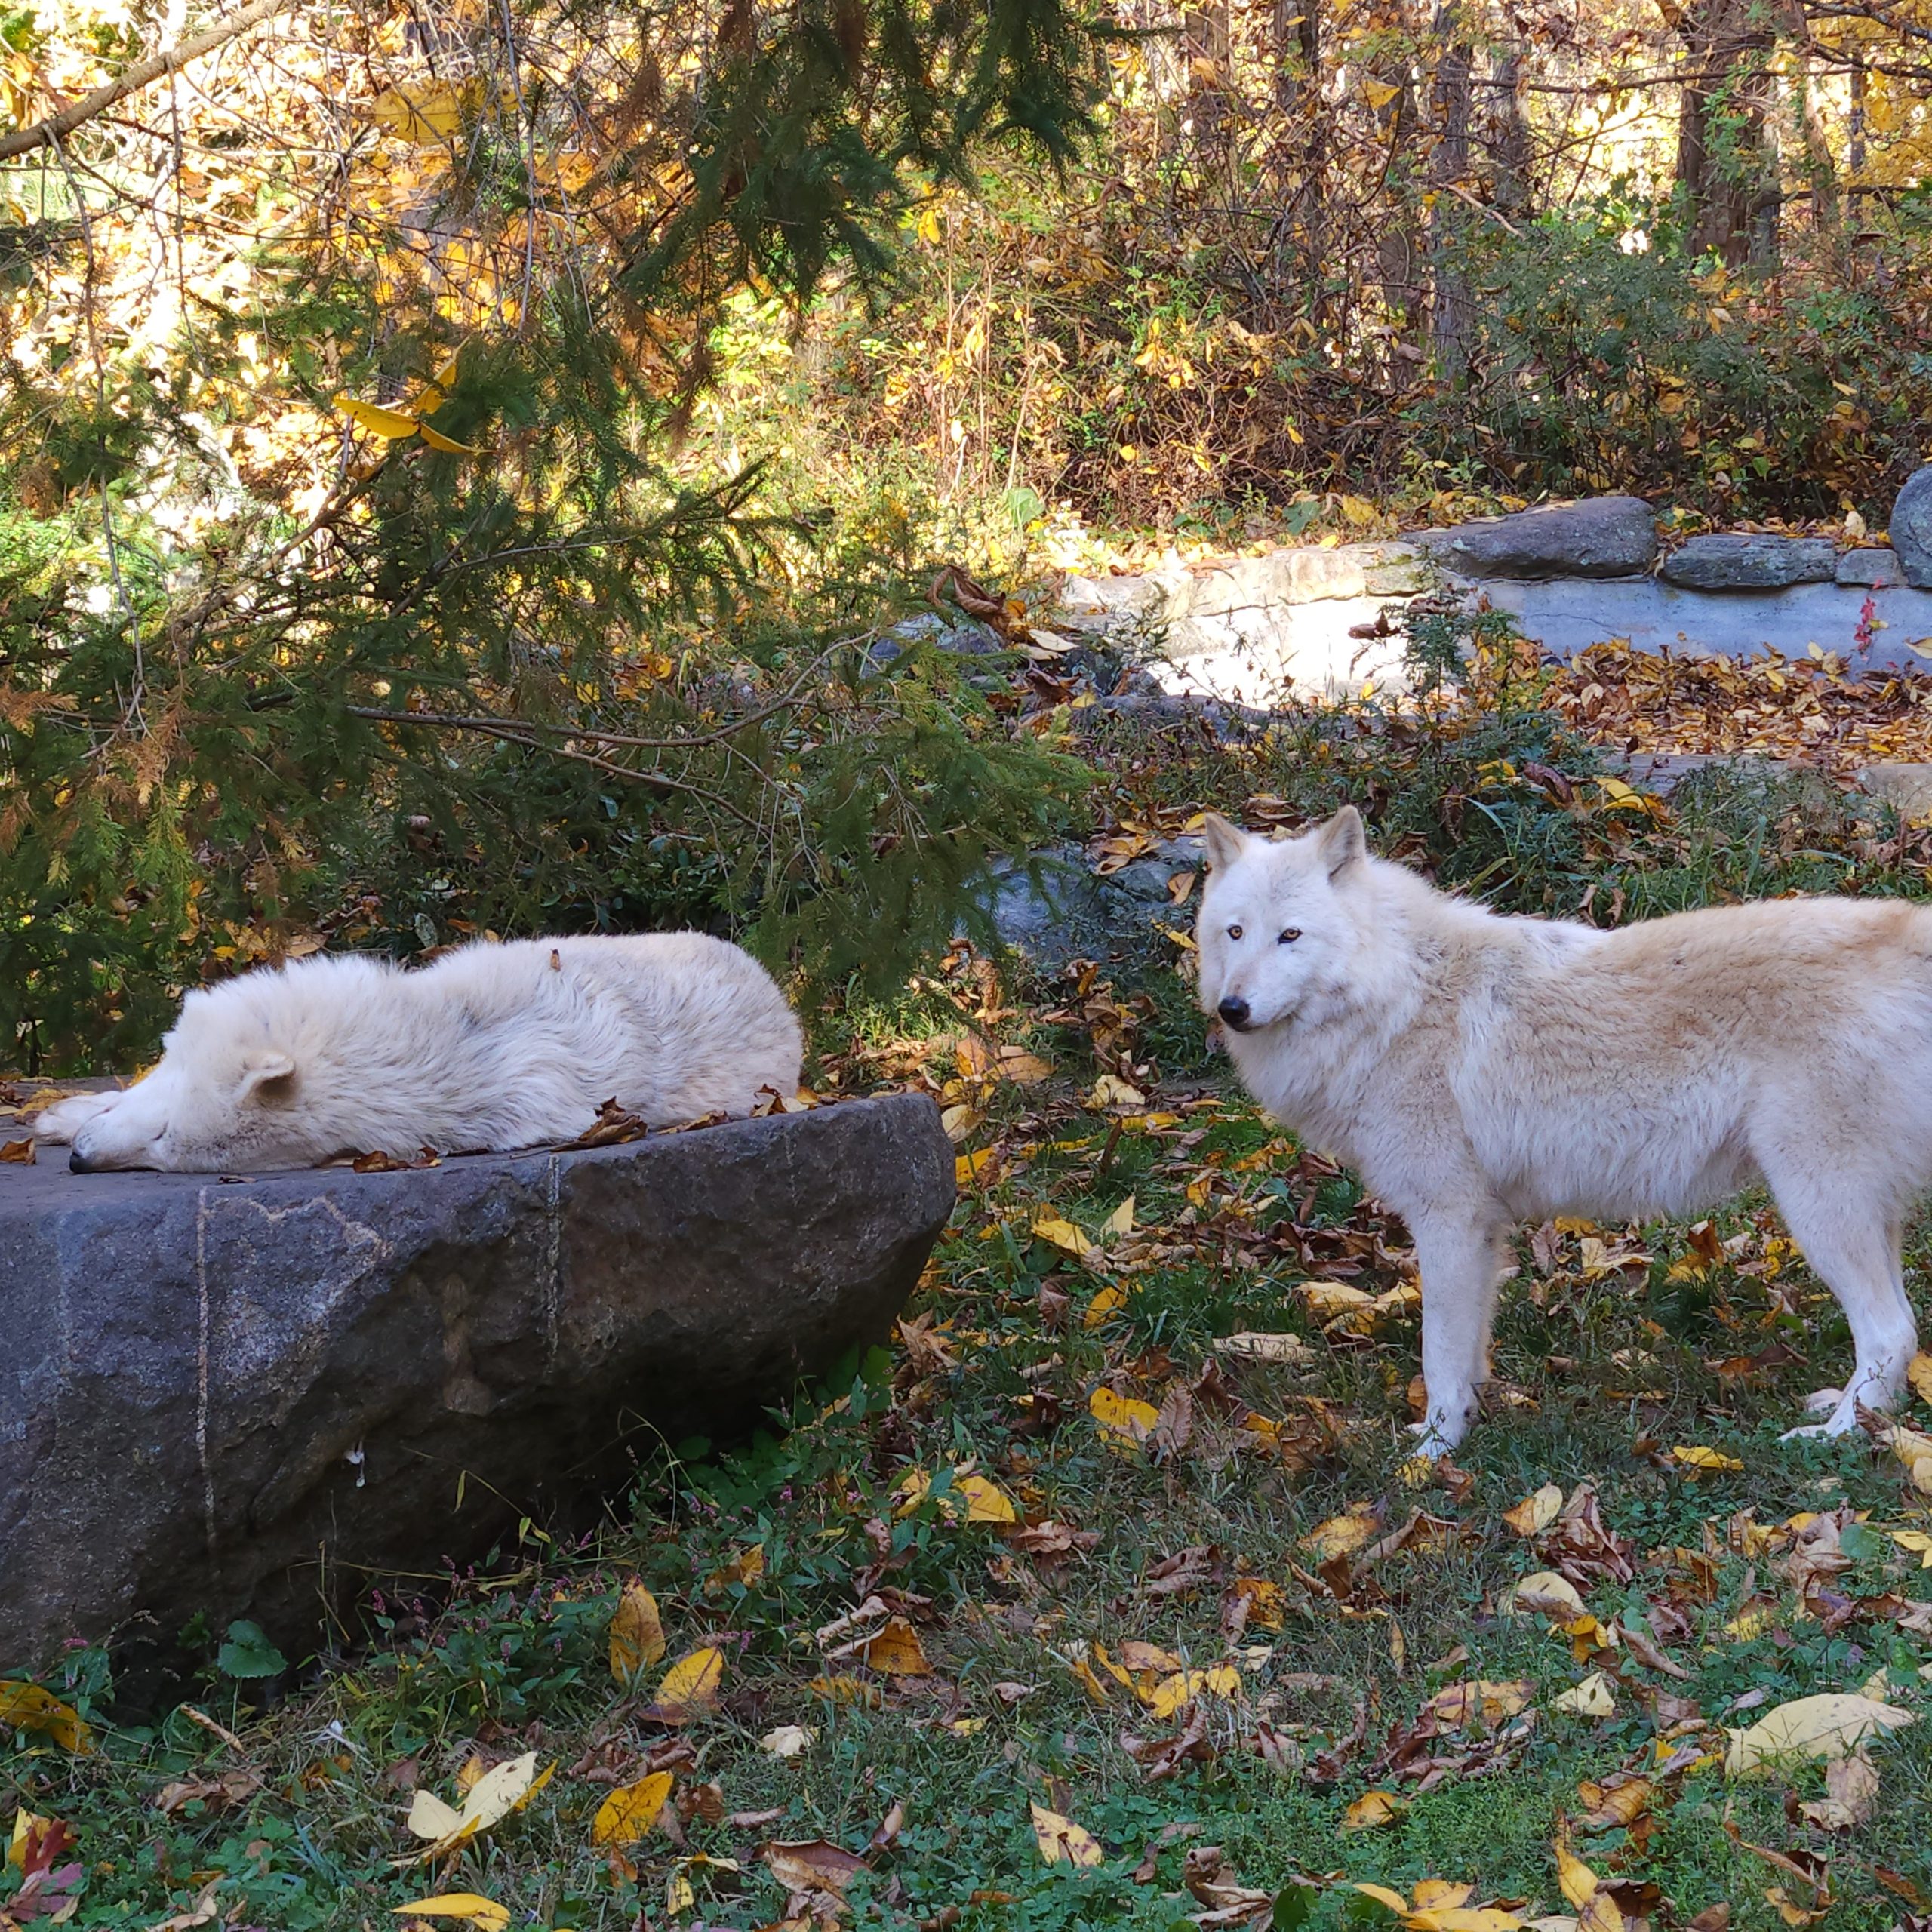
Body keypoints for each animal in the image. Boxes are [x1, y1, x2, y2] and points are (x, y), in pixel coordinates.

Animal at [1196, 805, 1927, 1454]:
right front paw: (1464, 1424)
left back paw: (1837, 1437)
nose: (1233, 1008)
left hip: (1817, 1205)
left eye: (1290, 936)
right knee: (1903, 1329)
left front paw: (1433, 1453)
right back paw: (1856, 1412)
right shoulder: (1483, 1229)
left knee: (1891, 1330)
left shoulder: (1448, 1218)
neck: (1400, 997)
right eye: (1234, 933)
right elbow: (1468, 1355)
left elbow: (1437, 1354)